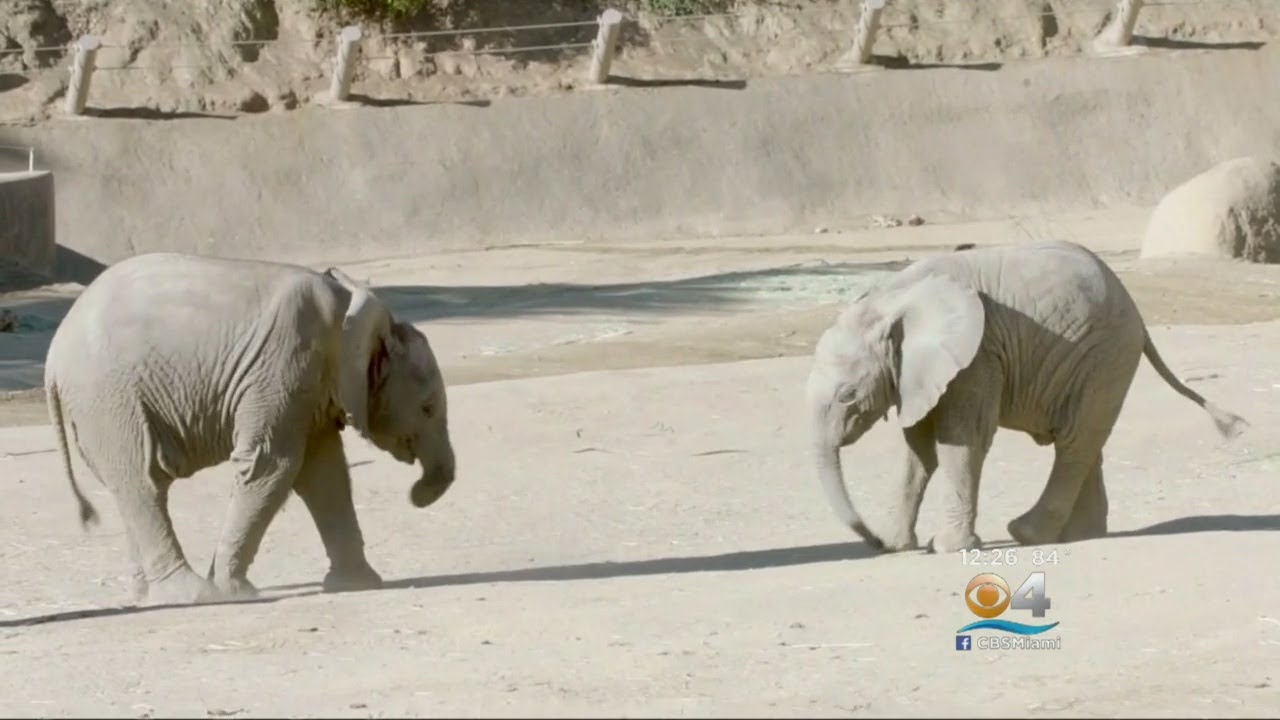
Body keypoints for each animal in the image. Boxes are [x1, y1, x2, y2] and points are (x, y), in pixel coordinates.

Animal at [44, 252, 457, 605]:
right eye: (427, 408)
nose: (415, 494)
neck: (353, 314)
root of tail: (52, 359)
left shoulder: (311, 390)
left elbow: (325, 475)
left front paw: (357, 586)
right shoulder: (284, 366)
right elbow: (272, 464)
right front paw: (234, 592)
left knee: (132, 485)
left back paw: (150, 599)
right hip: (109, 398)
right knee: (142, 481)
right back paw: (196, 595)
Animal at [806, 239, 1247, 554]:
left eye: (848, 395)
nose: (873, 541)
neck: (890, 301)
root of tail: (1138, 314)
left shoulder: (978, 356)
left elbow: (962, 442)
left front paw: (947, 548)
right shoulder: (918, 375)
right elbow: (919, 451)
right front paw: (900, 545)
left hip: (1105, 354)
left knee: (1074, 442)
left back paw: (1028, 533)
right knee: (1088, 441)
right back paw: (1080, 536)